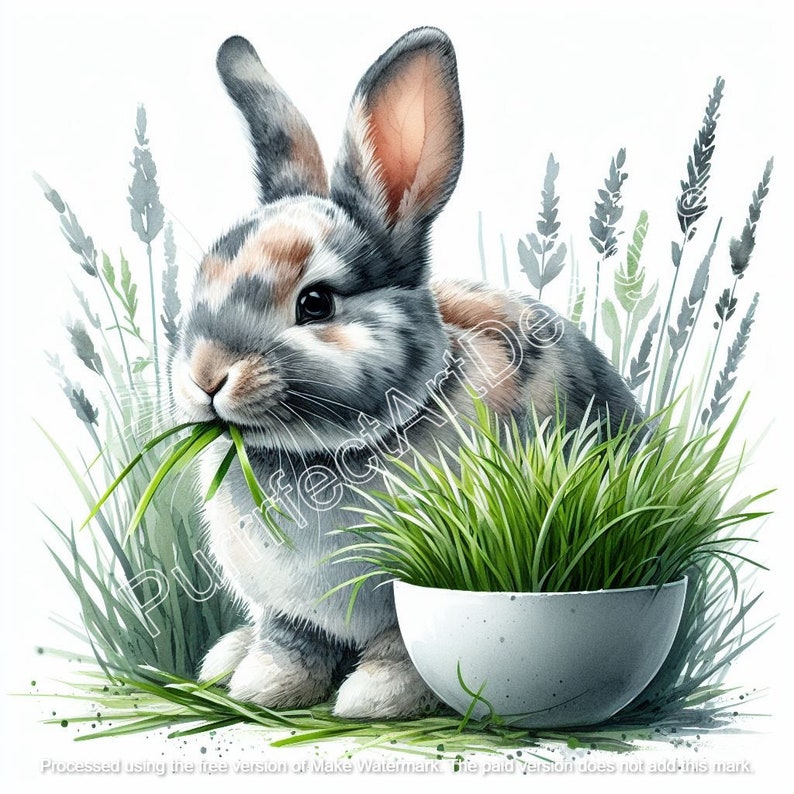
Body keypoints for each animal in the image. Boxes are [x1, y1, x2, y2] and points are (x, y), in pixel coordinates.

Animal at [169, 27, 641, 719]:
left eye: (316, 303)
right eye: (203, 278)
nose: (206, 377)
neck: (324, 456)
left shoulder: (413, 595)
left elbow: (403, 652)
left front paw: (371, 699)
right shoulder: (287, 608)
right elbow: (290, 640)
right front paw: (266, 686)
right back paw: (227, 656)